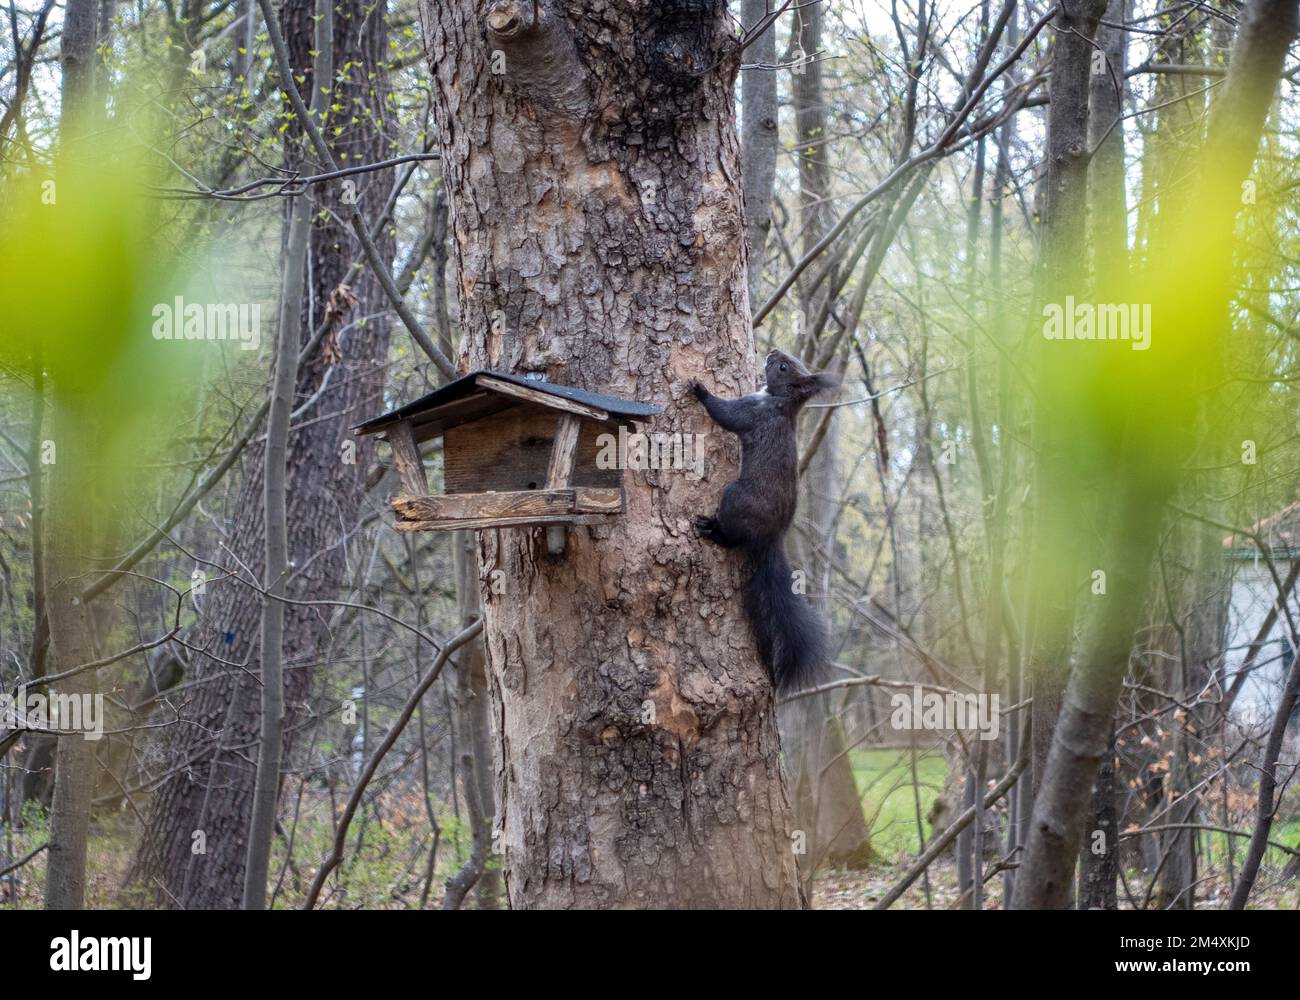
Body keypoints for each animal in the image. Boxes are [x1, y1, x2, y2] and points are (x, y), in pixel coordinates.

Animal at [690, 348, 839, 694]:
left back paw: (714, 531)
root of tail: (772, 539)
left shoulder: (753, 413)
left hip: (734, 499)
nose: (772, 351)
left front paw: (701, 391)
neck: (780, 402)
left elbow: (725, 414)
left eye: (783, 366)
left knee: (734, 539)